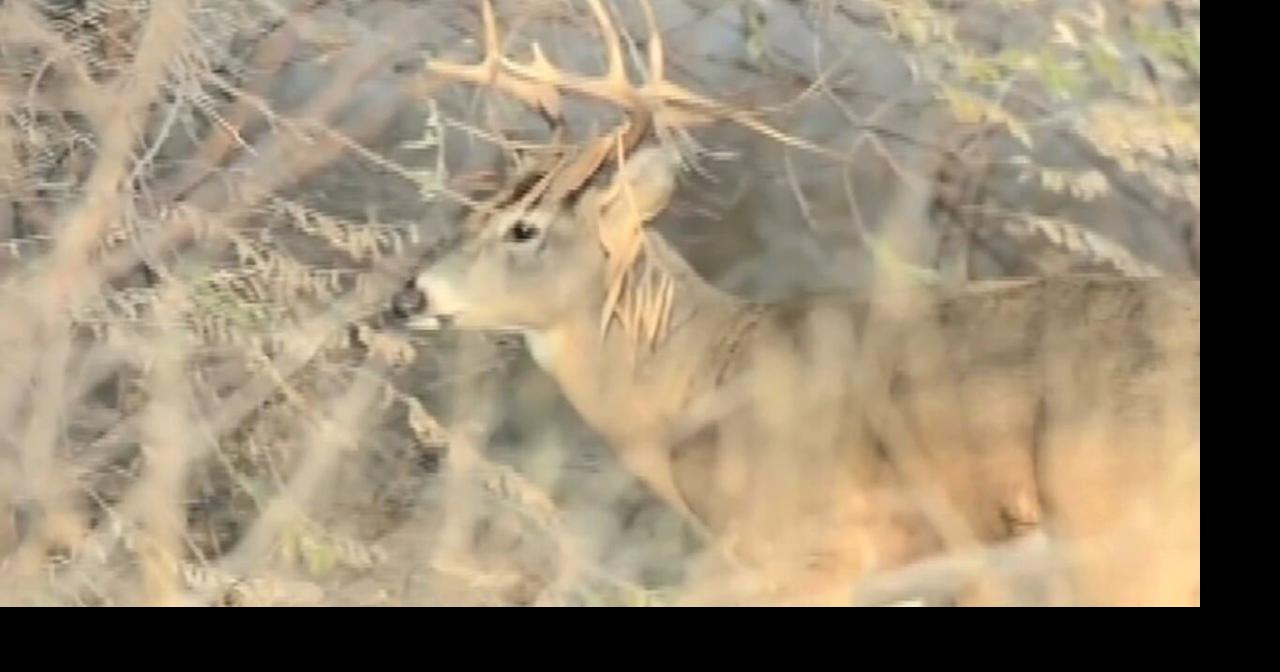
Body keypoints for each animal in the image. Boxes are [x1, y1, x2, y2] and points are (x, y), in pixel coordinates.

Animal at [385, 0, 1200, 606]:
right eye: (471, 208)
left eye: (524, 228)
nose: (407, 295)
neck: (697, 380)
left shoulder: (802, 548)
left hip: (1126, 531)